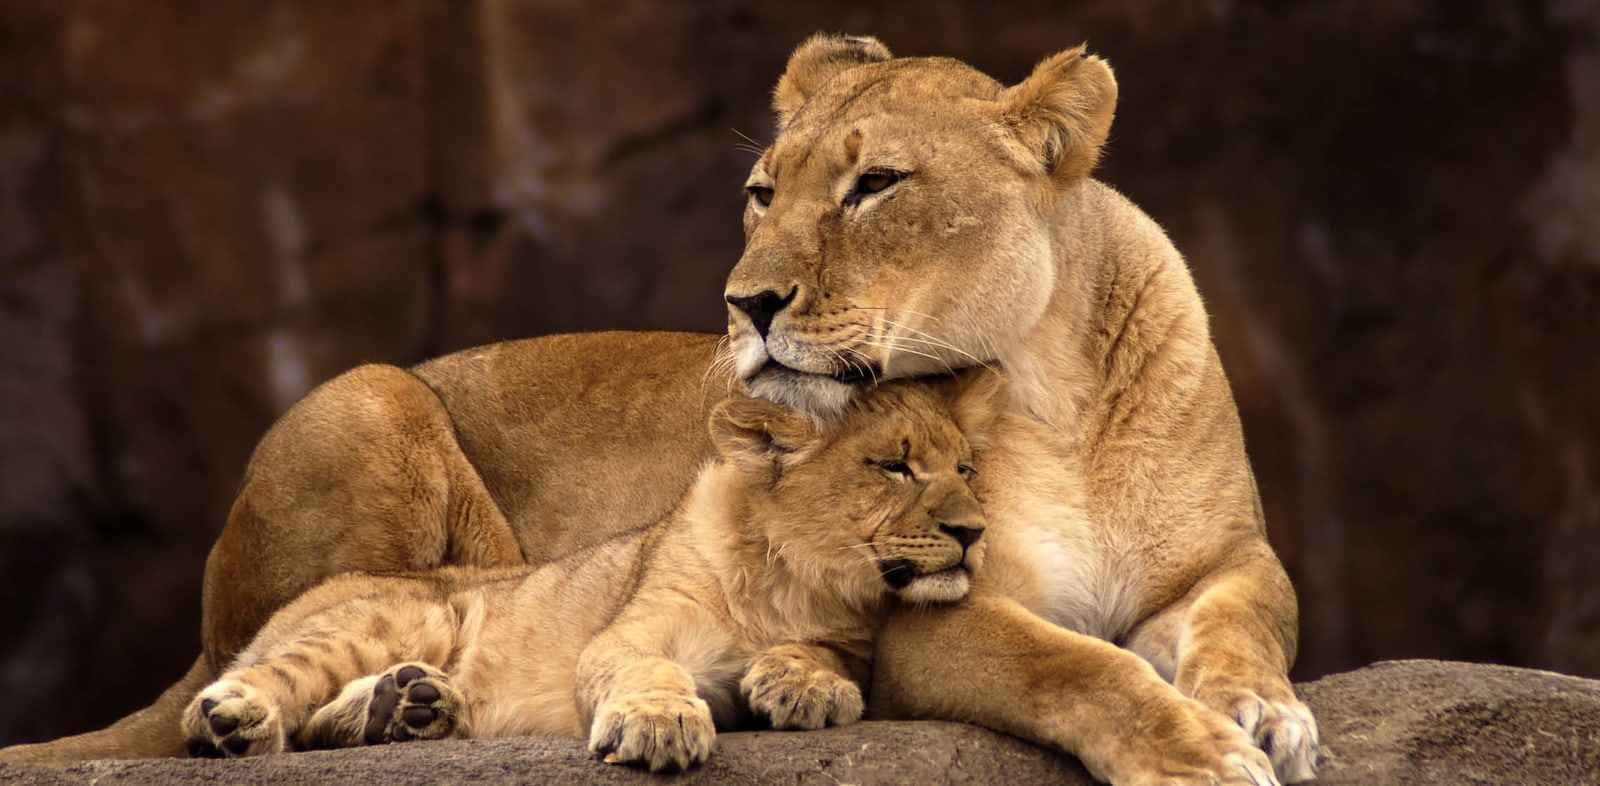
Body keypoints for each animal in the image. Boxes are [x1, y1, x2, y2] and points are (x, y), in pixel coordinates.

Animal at [180, 377, 994, 772]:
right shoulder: (625, 635)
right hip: (404, 613)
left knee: (322, 720)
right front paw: (661, 726)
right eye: (893, 466)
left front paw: (803, 683)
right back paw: (236, 720)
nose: (974, 532)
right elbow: (647, 670)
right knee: (267, 688)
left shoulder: (854, 640)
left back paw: (409, 707)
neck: (795, 581)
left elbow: (829, 656)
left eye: (965, 469)